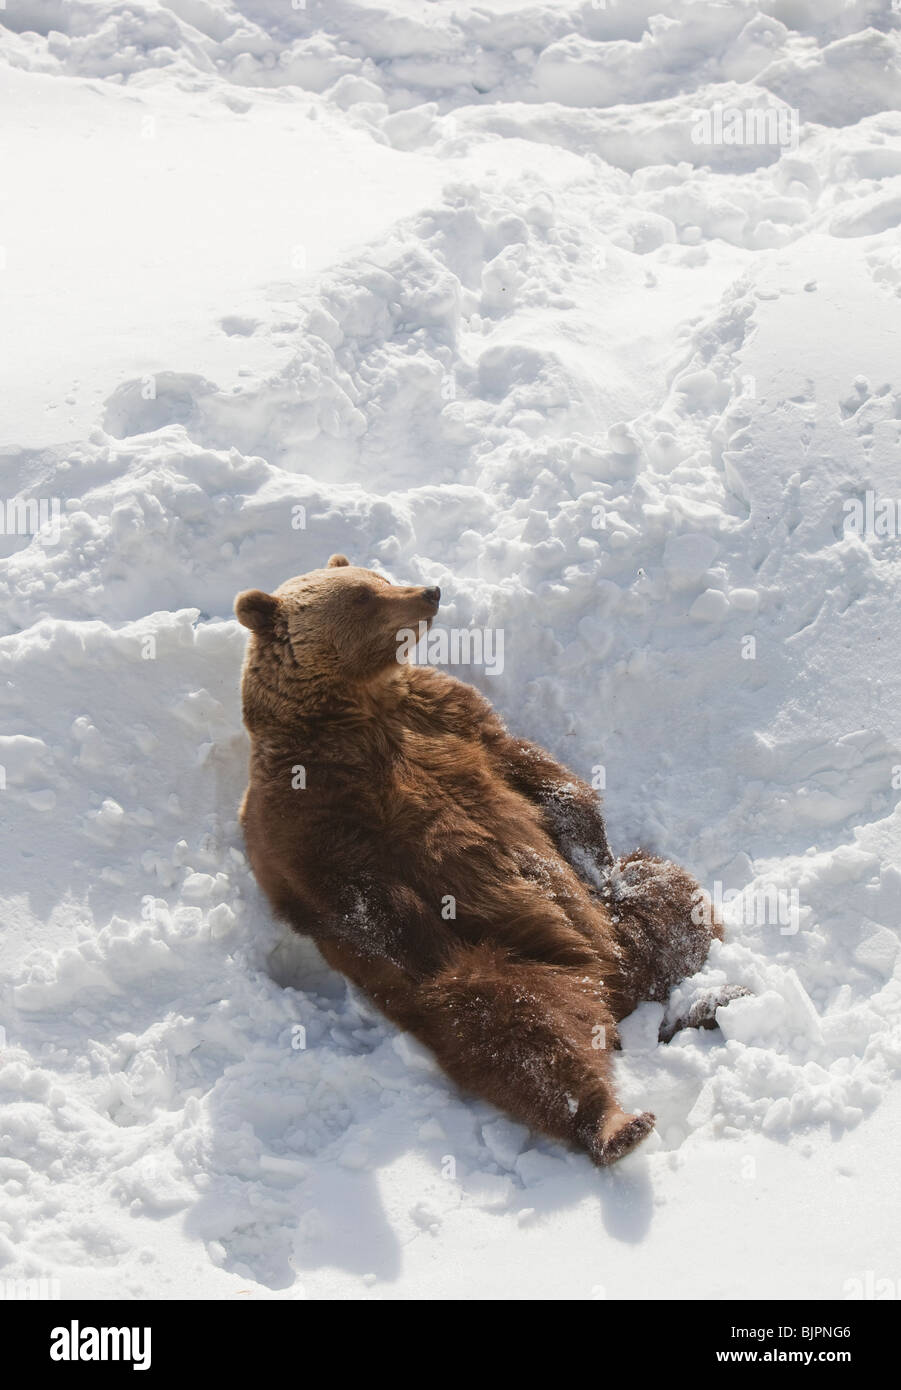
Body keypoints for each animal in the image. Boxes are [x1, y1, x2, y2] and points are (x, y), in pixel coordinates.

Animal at [236, 556, 725, 1166]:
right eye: (362, 597)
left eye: (378, 577)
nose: (429, 591)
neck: (353, 709)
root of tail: (615, 990)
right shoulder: (302, 807)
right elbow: (351, 896)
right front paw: (398, 926)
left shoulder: (445, 713)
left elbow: (535, 771)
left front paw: (593, 853)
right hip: (506, 961)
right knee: (515, 1029)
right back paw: (613, 1123)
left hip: (617, 923)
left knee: (667, 896)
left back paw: (707, 994)